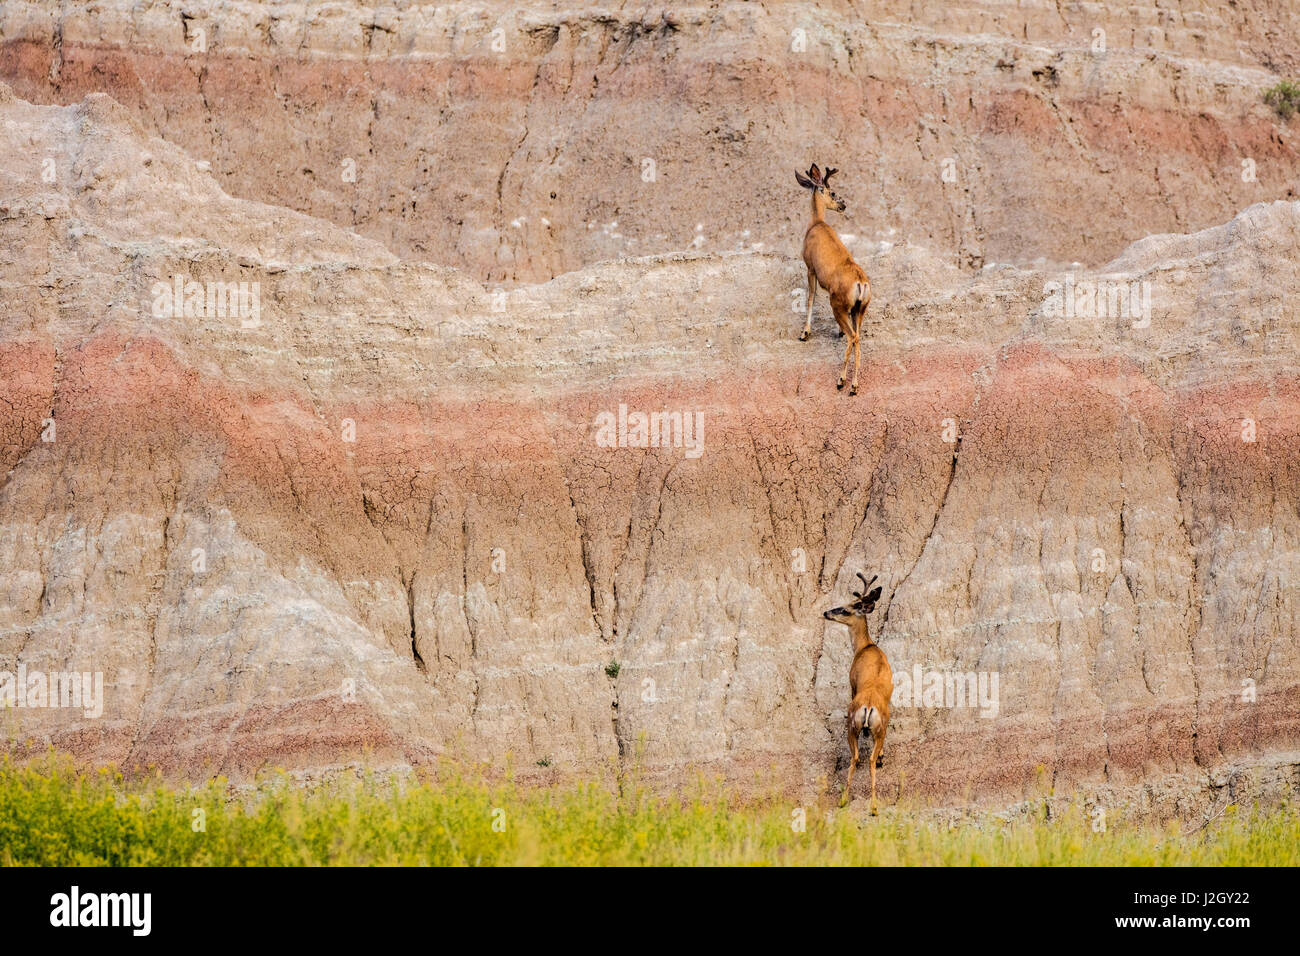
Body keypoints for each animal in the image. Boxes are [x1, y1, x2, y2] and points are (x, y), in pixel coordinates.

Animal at [795, 163, 871, 395]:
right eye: (833, 192)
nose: (843, 205)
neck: (816, 223)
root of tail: (861, 283)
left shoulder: (810, 267)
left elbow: (810, 297)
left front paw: (805, 332)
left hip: (838, 304)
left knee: (852, 337)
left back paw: (841, 381)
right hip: (860, 309)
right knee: (858, 337)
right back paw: (854, 386)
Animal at [823, 572, 892, 813]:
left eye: (846, 608)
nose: (826, 612)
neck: (866, 646)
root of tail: (869, 706)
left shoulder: (852, 681)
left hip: (851, 723)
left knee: (857, 759)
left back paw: (848, 800)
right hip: (877, 727)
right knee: (868, 757)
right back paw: (873, 805)